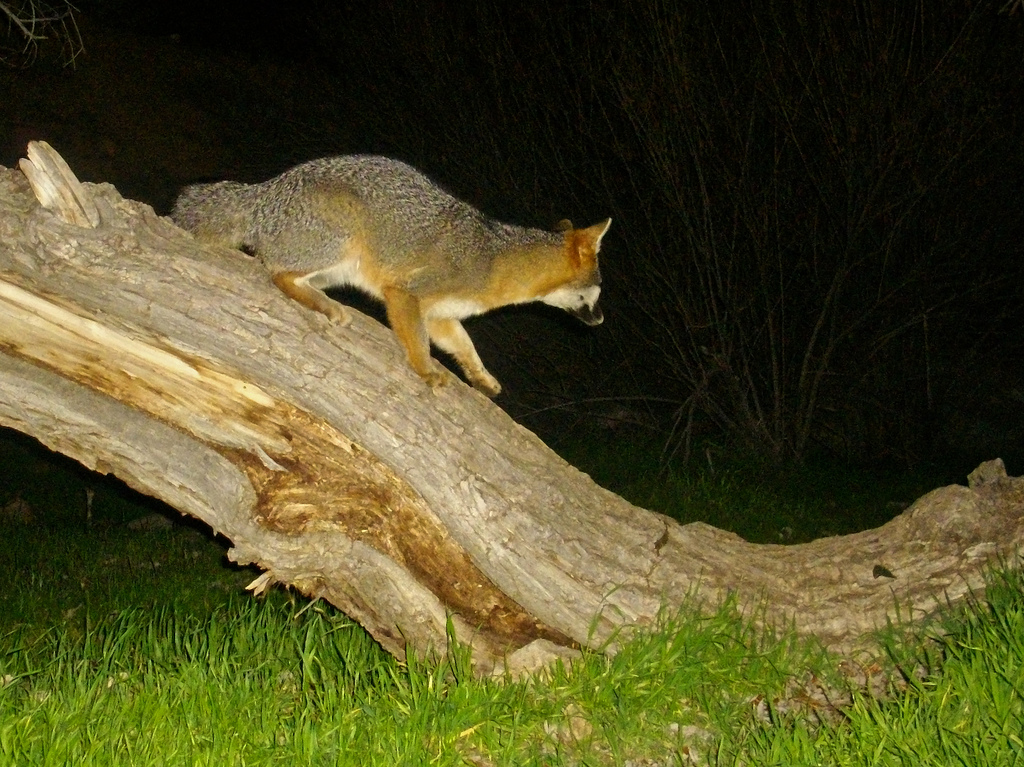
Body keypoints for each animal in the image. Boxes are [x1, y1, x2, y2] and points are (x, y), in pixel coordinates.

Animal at [171, 155, 610, 396]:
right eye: (598, 291)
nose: (602, 320)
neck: (495, 260)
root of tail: (265, 191)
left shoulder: (441, 314)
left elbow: (465, 346)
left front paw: (481, 377)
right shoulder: (405, 294)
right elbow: (418, 343)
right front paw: (426, 371)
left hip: (339, 269)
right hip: (340, 243)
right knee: (277, 273)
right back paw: (324, 306)